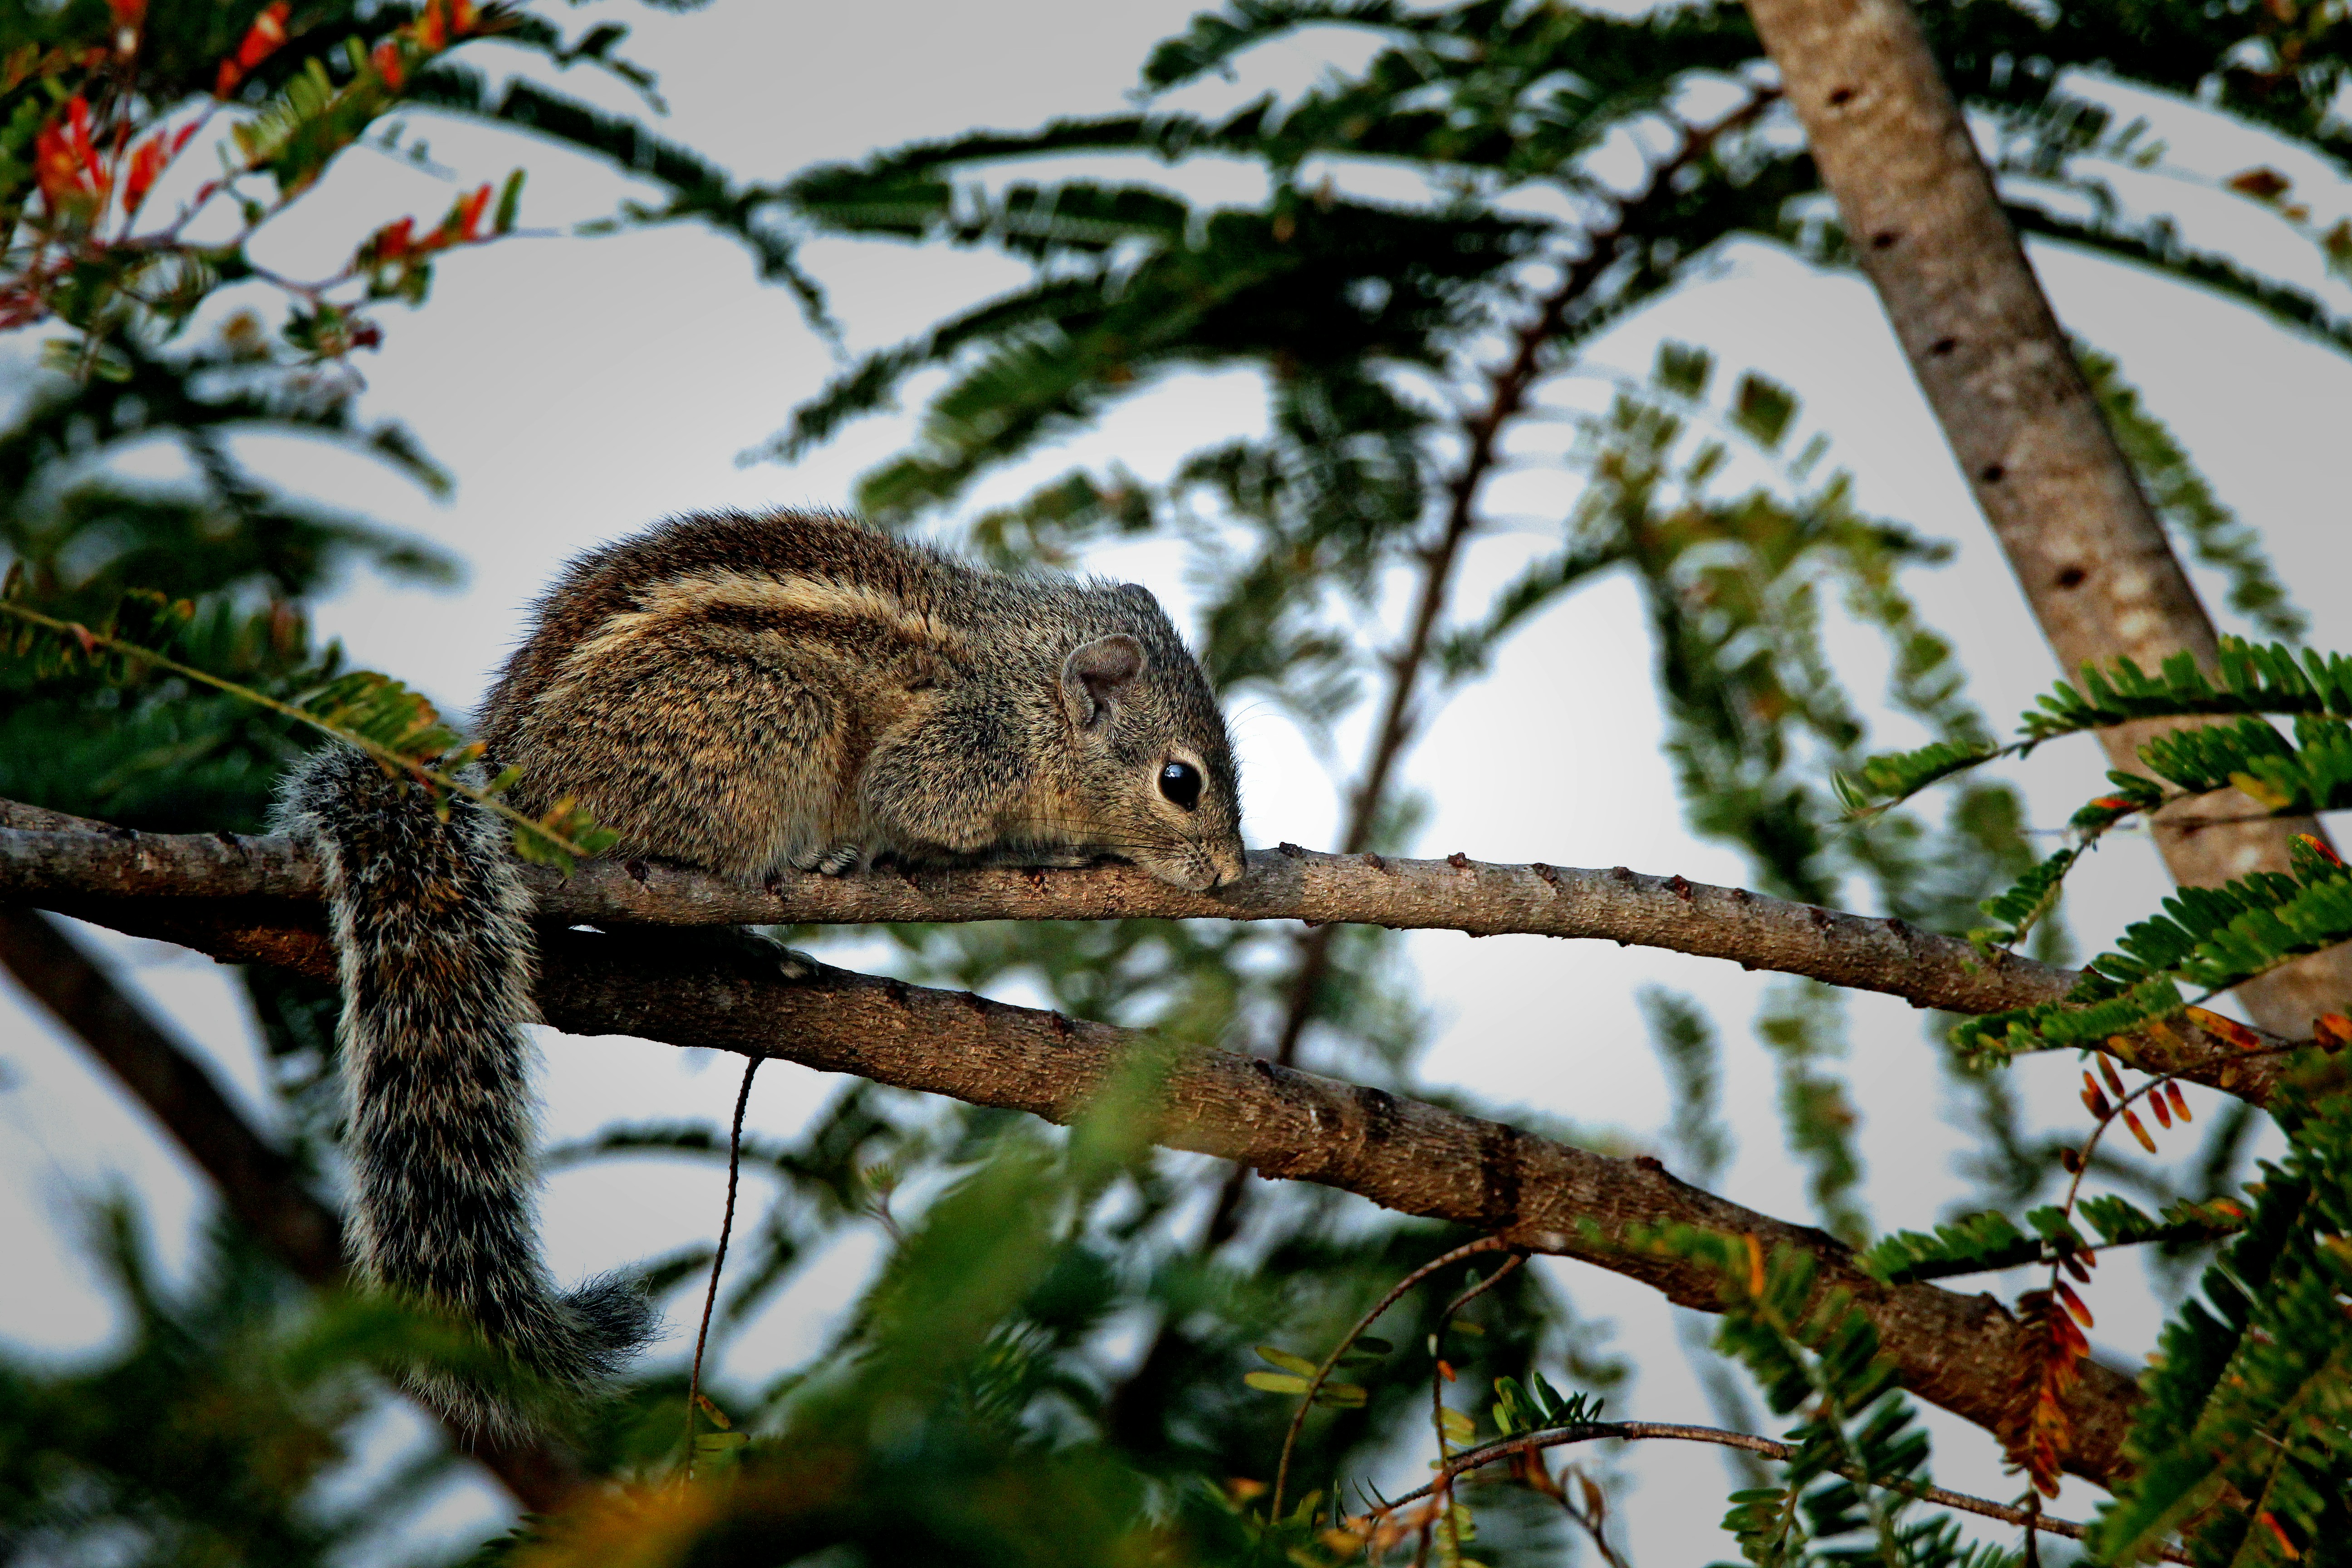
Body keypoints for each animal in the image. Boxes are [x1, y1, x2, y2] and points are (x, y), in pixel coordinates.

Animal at [275, 508, 1246, 1436]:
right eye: (1180, 781)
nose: (1233, 873)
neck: (1030, 688)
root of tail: (508, 785)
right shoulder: (957, 757)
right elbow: (926, 817)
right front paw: (1063, 853)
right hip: (772, 719)